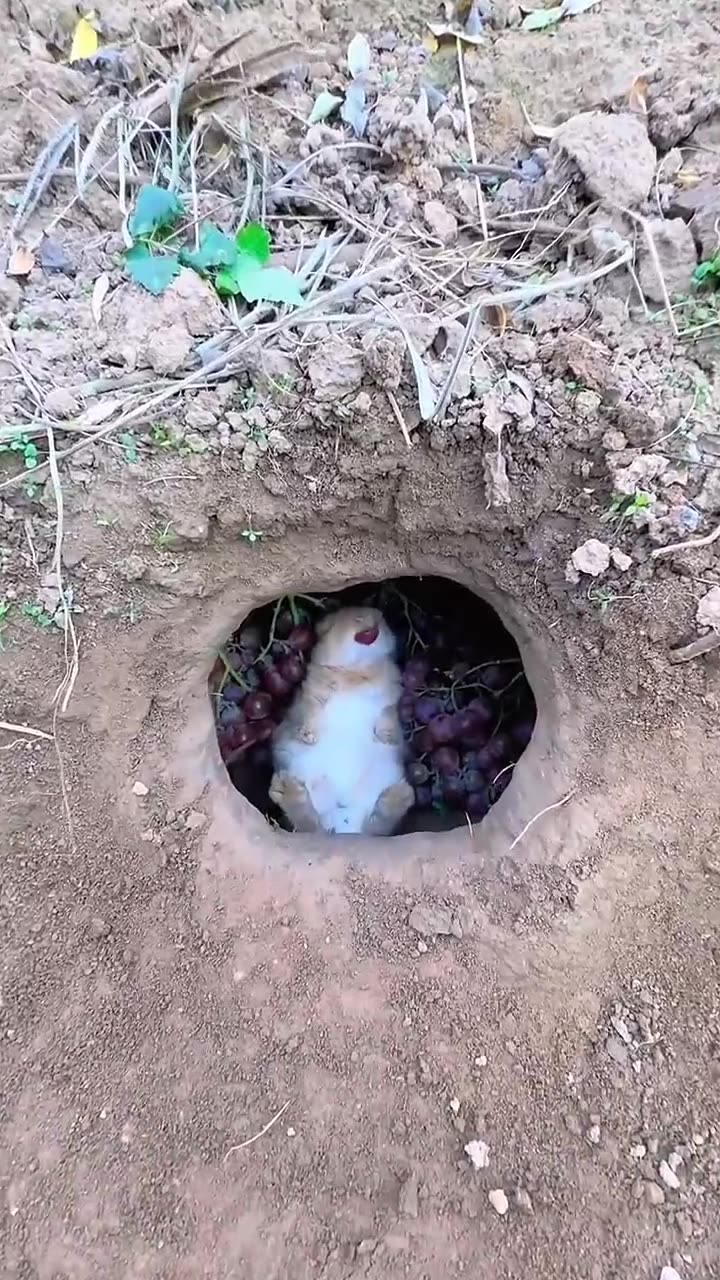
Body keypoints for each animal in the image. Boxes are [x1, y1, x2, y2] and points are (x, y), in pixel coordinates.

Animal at [269, 606, 414, 836]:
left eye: (382, 616)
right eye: (333, 621)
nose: (374, 619)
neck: (357, 671)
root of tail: (344, 827)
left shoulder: (389, 702)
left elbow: (387, 715)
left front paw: (388, 737)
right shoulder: (313, 697)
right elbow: (310, 713)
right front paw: (308, 735)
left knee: (376, 827)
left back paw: (399, 796)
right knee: (309, 824)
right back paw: (286, 789)